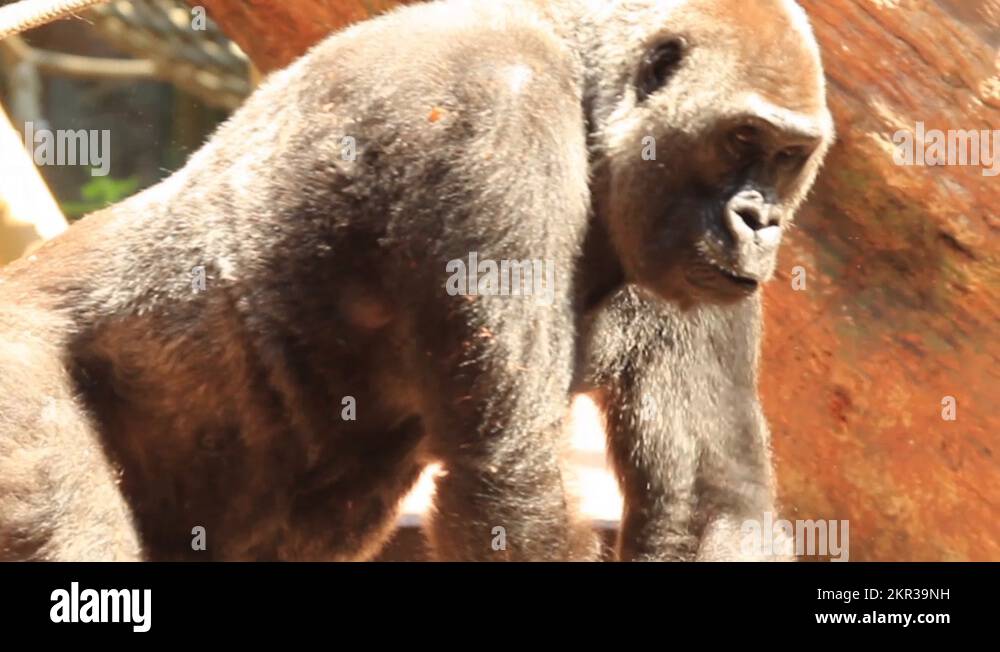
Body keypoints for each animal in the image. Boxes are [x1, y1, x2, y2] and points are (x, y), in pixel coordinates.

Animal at [0, 0, 832, 561]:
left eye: (788, 155)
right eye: (741, 137)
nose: (760, 221)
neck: (583, 75)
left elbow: (711, 499)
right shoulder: (500, 114)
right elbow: (509, 478)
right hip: (20, 369)